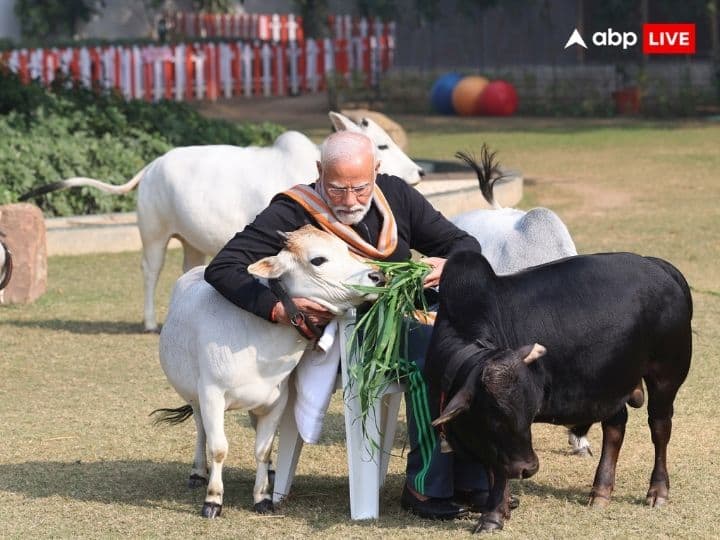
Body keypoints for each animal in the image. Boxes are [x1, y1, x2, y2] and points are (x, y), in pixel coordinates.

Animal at [19, 112, 422, 332]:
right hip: (154, 234)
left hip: (190, 242)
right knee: (150, 271)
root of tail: (151, 166)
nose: (418, 171)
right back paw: (150, 322)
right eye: (382, 145)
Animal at [151, 225, 385, 517]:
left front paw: (262, 496)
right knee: (201, 429)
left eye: (346, 248)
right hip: (194, 397)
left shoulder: (276, 400)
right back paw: (197, 472)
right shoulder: (211, 395)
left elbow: (262, 449)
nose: (377, 276)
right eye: (318, 260)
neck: (257, 341)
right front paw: (213, 500)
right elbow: (218, 448)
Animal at [427, 248, 692, 533]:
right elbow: (493, 466)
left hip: (665, 378)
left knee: (660, 429)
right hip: (611, 383)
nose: (530, 468)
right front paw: (503, 507)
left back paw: (658, 491)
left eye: (529, 413)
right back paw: (600, 491)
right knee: (615, 428)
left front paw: (492, 516)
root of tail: (657, 265)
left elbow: (500, 471)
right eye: (495, 417)